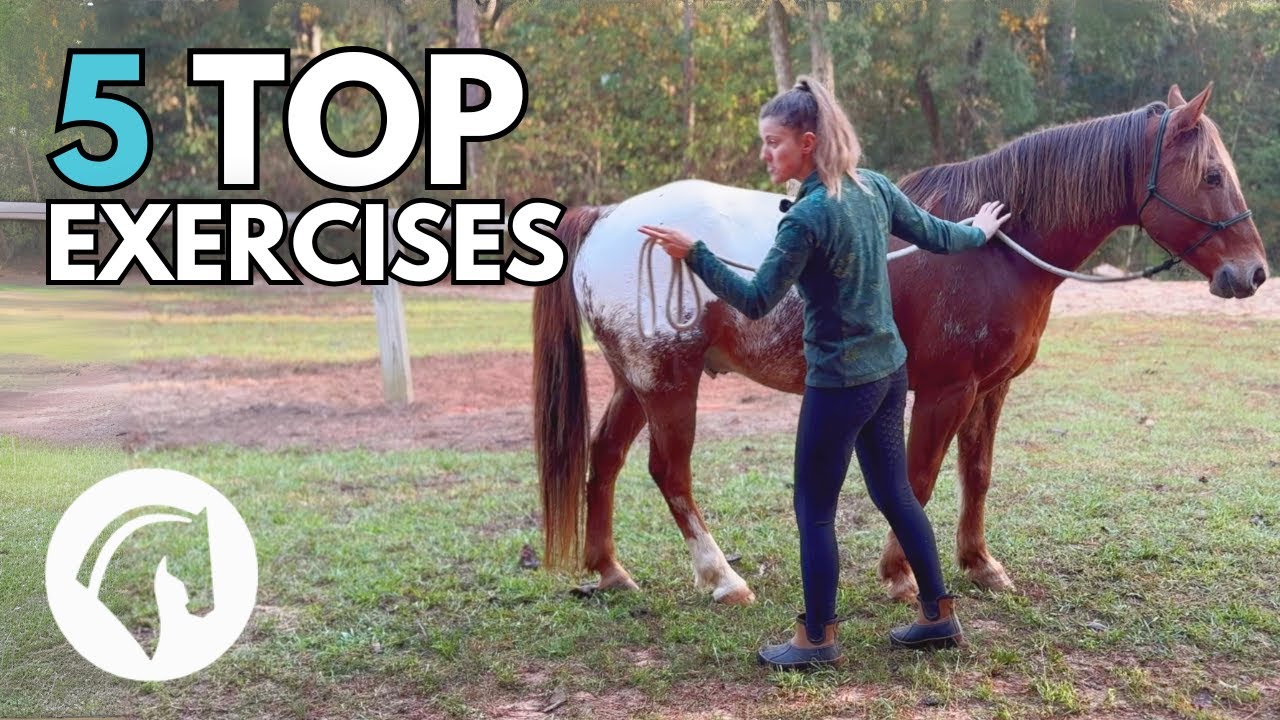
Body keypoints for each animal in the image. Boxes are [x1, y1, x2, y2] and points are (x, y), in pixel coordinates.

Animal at [532, 84, 1268, 605]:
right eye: (1210, 176)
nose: (1255, 273)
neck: (992, 251)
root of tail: (613, 218)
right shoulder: (947, 390)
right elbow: (919, 477)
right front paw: (900, 573)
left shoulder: (989, 389)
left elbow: (976, 474)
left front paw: (980, 565)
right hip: (668, 383)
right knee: (670, 473)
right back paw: (720, 579)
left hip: (637, 381)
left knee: (606, 458)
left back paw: (609, 571)